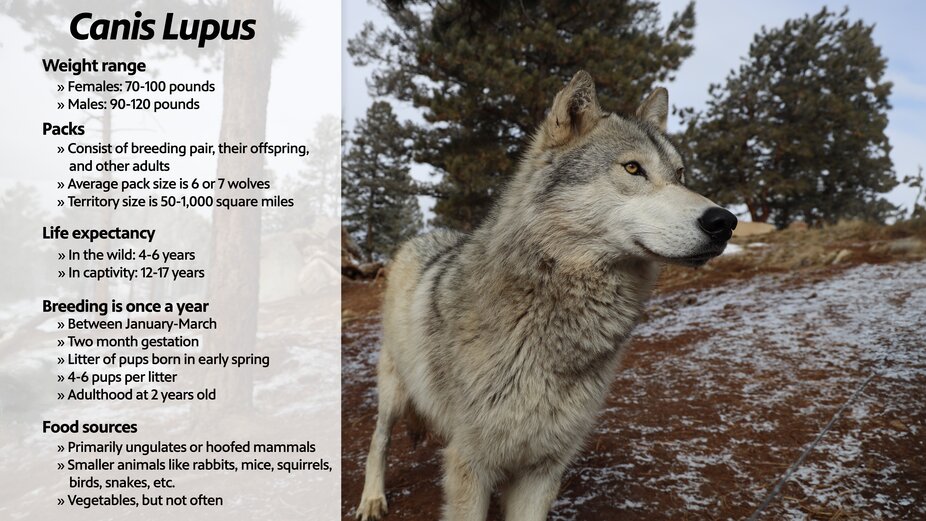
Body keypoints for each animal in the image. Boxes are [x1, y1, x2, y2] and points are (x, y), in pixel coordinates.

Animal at [356, 71, 737, 521]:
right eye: (633, 168)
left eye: (680, 175)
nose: (726, 221)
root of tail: (424, 236)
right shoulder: (470, 465)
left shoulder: (545, 468)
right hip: (392, 394)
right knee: (378, 442)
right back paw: (371, 499)